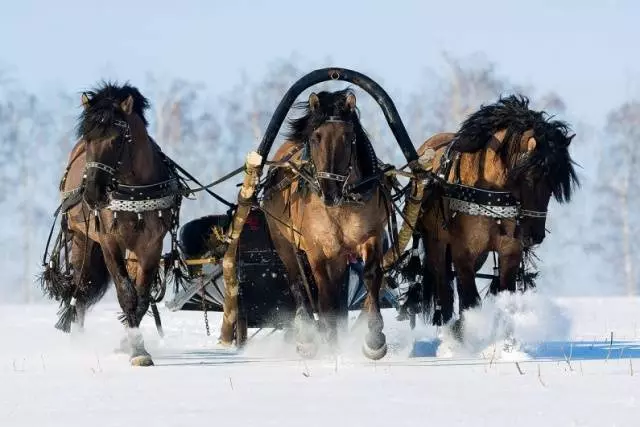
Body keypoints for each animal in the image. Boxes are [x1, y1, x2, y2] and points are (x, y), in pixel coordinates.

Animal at [39, 82, 182, 366]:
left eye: (117, 139)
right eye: (88, 139)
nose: (93, 192)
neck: (133, 190)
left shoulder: (151, 246)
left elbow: (141, 296)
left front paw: (133, 344)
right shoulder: (109, 243)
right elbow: (125, 292)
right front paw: (137, 350)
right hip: (83, 240)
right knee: (81, 289)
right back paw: (78, 341)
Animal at [262, 88, 396, 360]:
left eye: (348, 136)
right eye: (316, 137)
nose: (329, 191)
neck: (342, 204)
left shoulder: (370, 236)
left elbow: (370, 275)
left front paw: (374, 339)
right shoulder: (316, 248)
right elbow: (323, 292)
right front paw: (328, 342)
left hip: (339, 254)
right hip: (284, 242)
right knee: (298, 282)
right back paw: (307, 337)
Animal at [402, 96, 584, 338]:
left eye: (554, 185)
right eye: (531, 177)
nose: (534, 236)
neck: (490, 192)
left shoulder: (510, 251)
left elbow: (504, 298)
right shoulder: (462, 252)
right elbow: (469, 301)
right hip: (436, 244)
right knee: (445, 290)